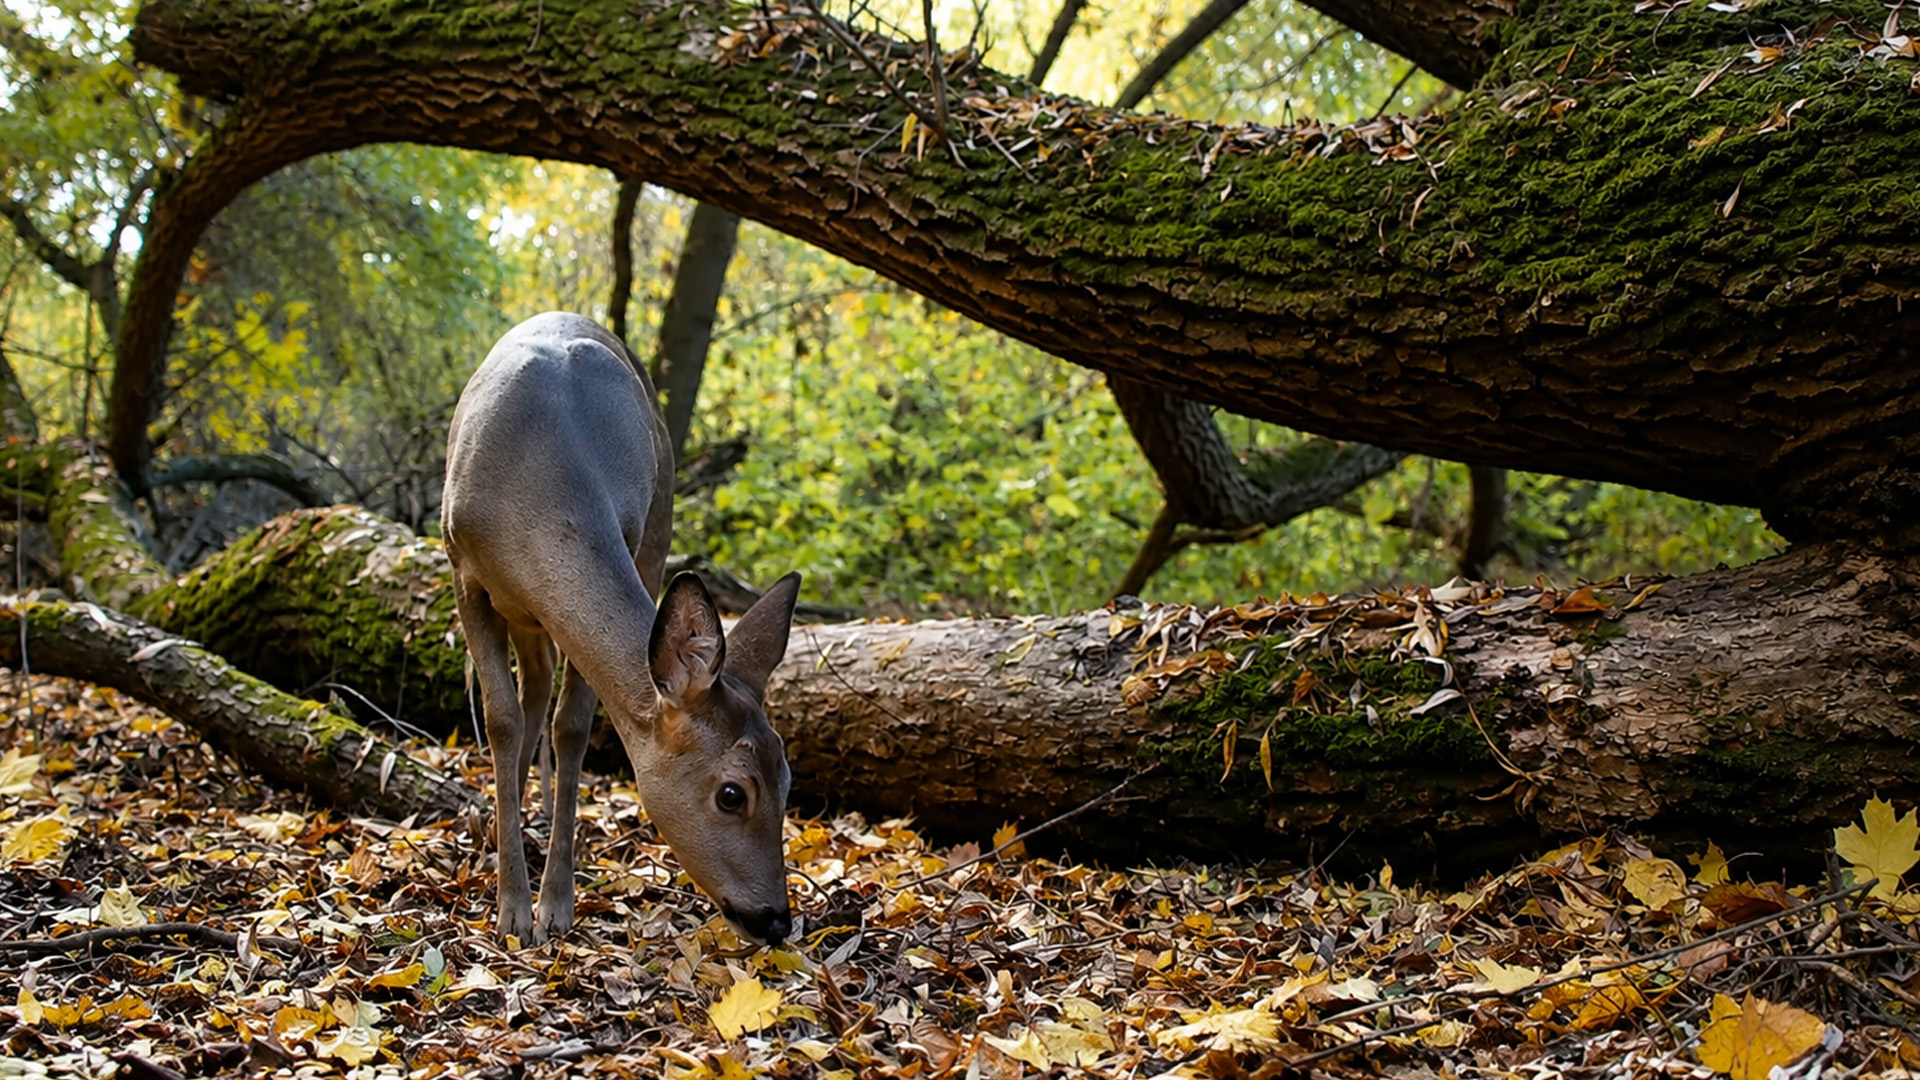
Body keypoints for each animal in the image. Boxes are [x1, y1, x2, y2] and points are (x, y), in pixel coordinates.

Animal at [442, 311, 800, 947]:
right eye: (732, 793)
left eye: (788, 781)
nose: (776, 919)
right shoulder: (463, 568)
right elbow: (500, 719)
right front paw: (512, 909)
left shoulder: (631, 538)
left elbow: (573, 725)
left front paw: (555, 905)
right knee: (530, 691)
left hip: (655, 526)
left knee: (541, 686)